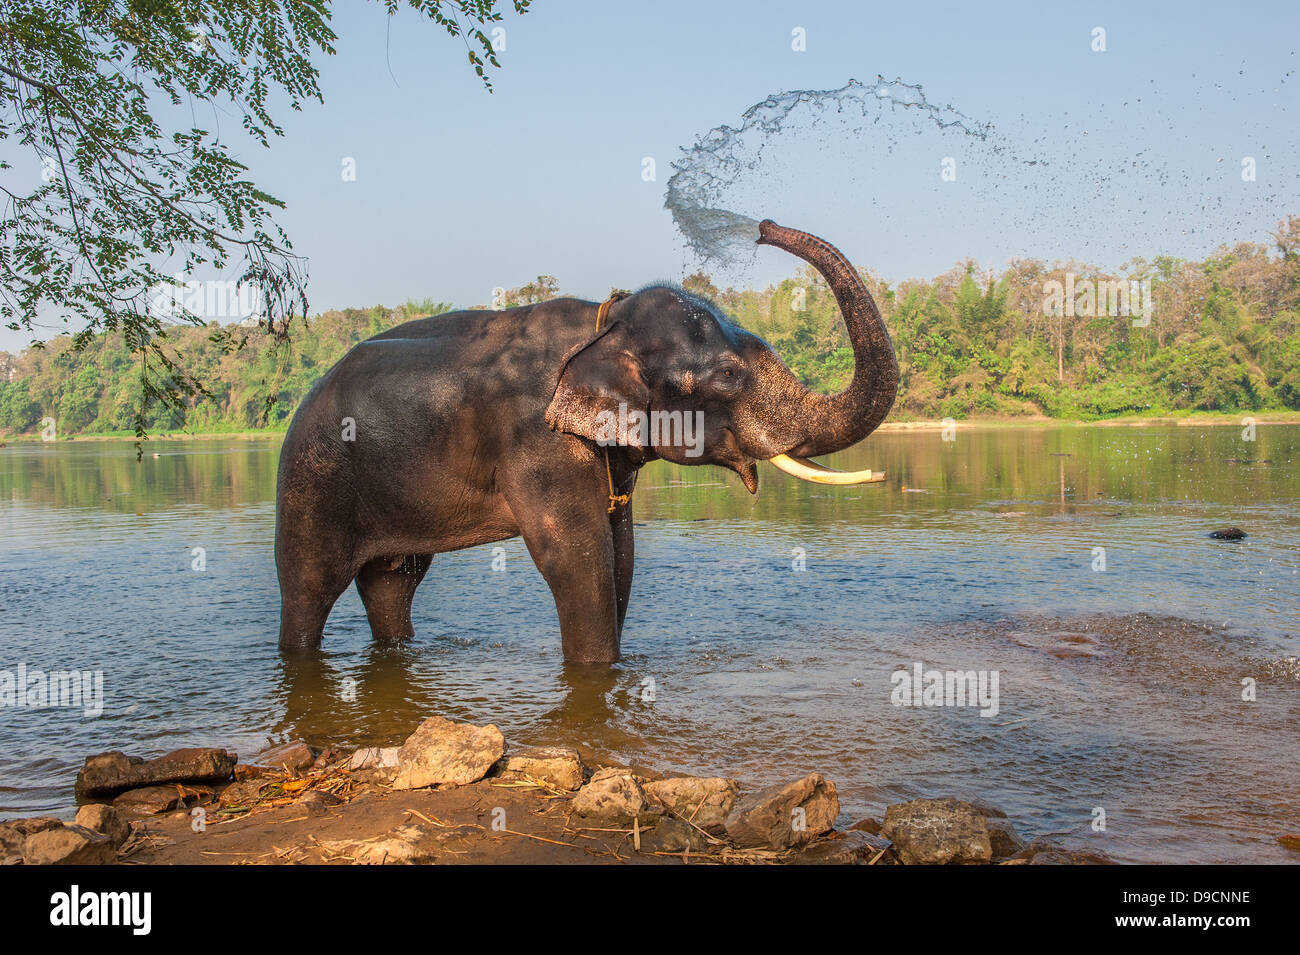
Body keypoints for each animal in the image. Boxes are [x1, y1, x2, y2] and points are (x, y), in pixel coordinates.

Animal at [274, 220, 898, 663]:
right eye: (727, 375)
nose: (764, 227)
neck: (606, 322)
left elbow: (621, 552)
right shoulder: (537, 438)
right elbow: (577, 556)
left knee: (392, 582)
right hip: (313, 477)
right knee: (309, 584)